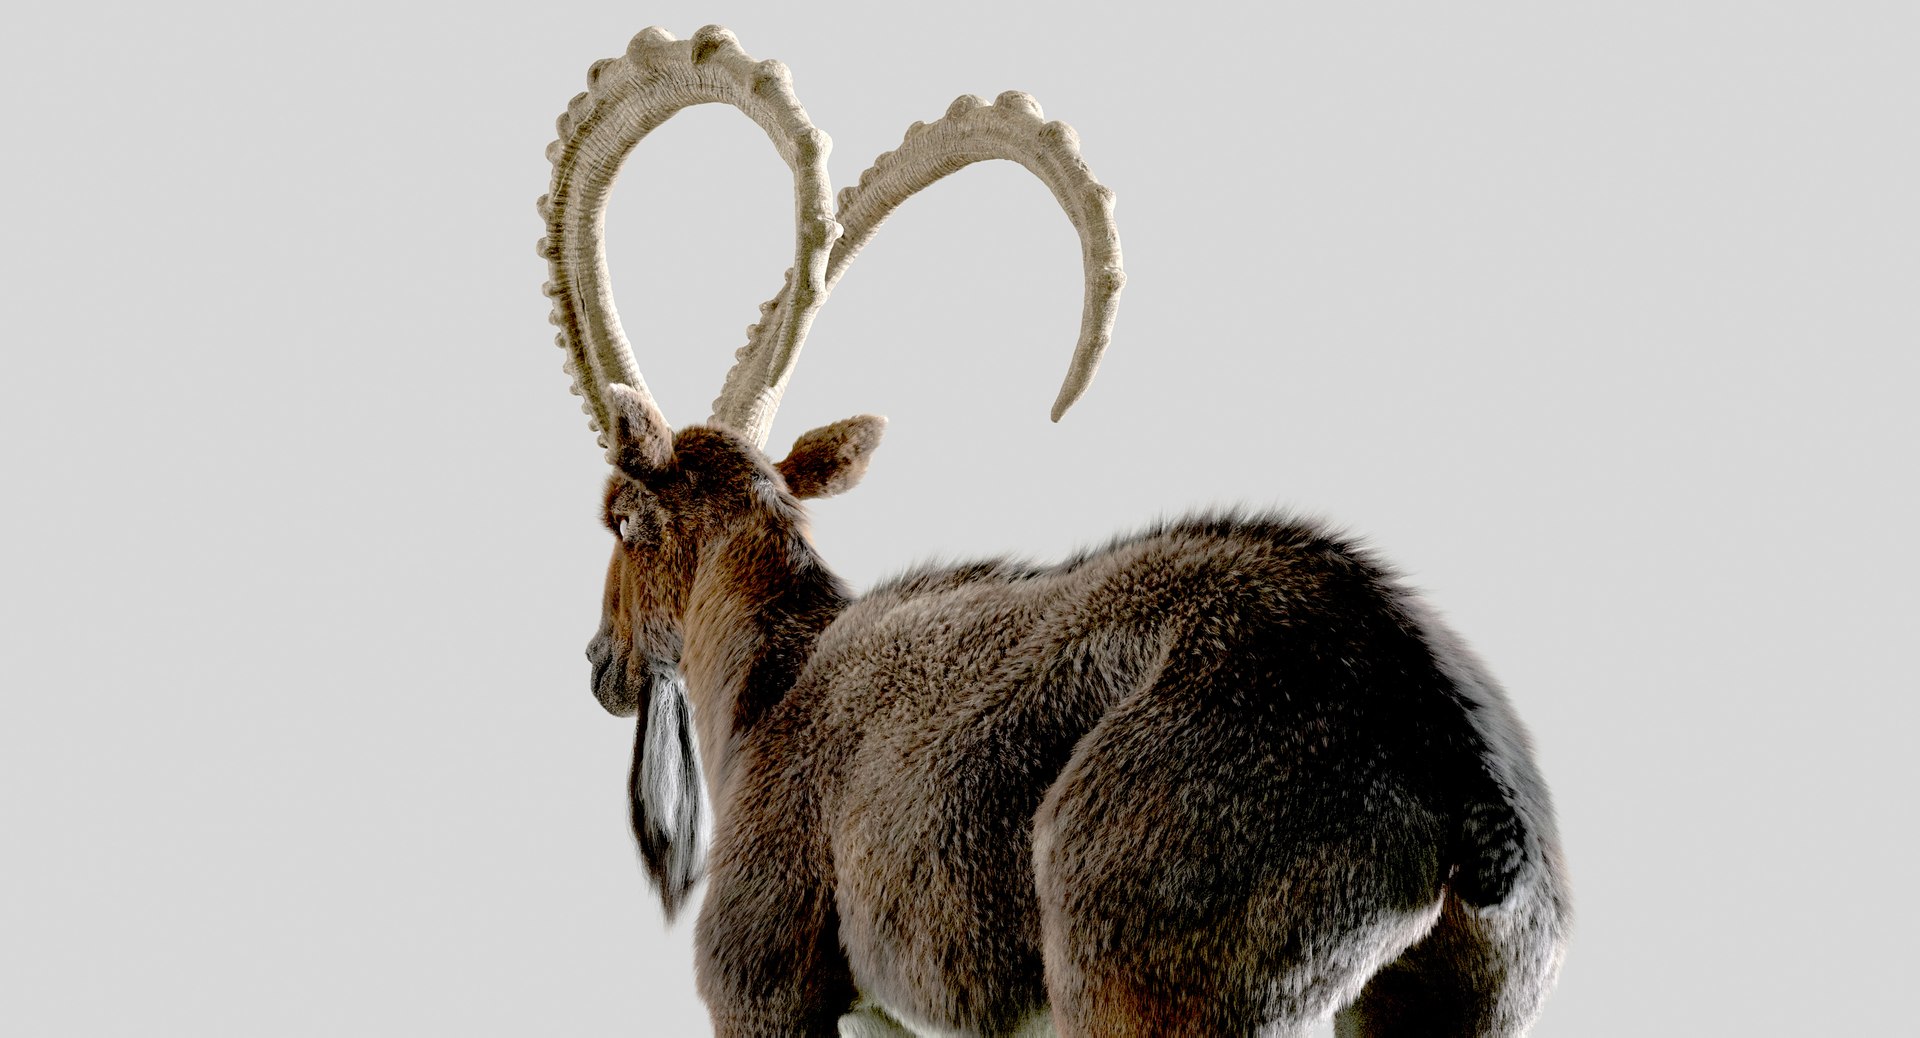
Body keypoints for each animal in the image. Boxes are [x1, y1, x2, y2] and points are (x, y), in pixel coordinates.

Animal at [539, 25, 1569, 1038]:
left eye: (619, 516)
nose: (601, 663)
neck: (774, 677)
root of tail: (1449, 759)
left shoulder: (766, 993)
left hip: (1144, 992)